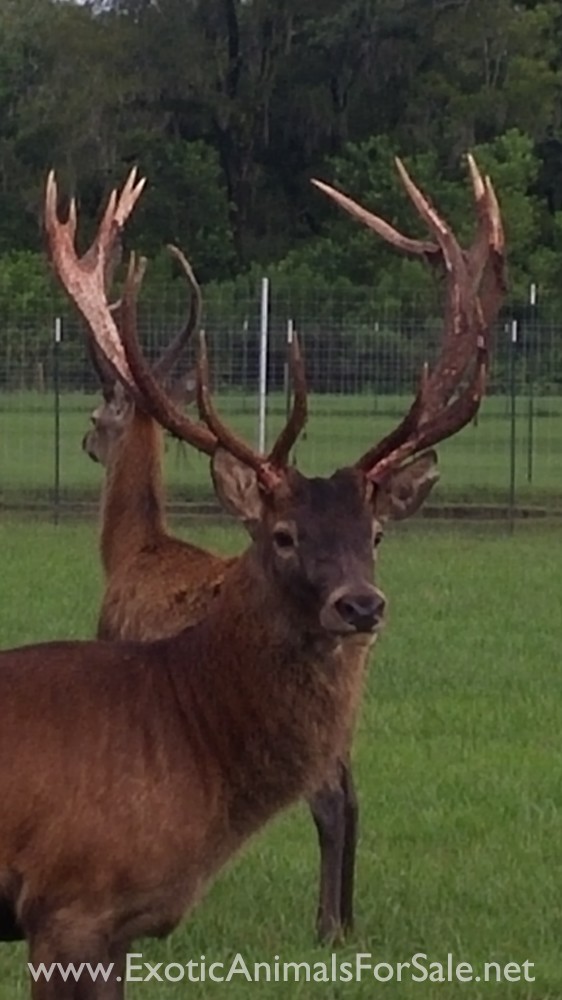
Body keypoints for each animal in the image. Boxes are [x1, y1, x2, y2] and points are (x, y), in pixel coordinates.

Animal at [0, 156, 505, 999]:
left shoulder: (97, 913)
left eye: (373, 533)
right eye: (284, 534)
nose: (361, 605)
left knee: (339, 798)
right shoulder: (68, 901)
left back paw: (337, 928)